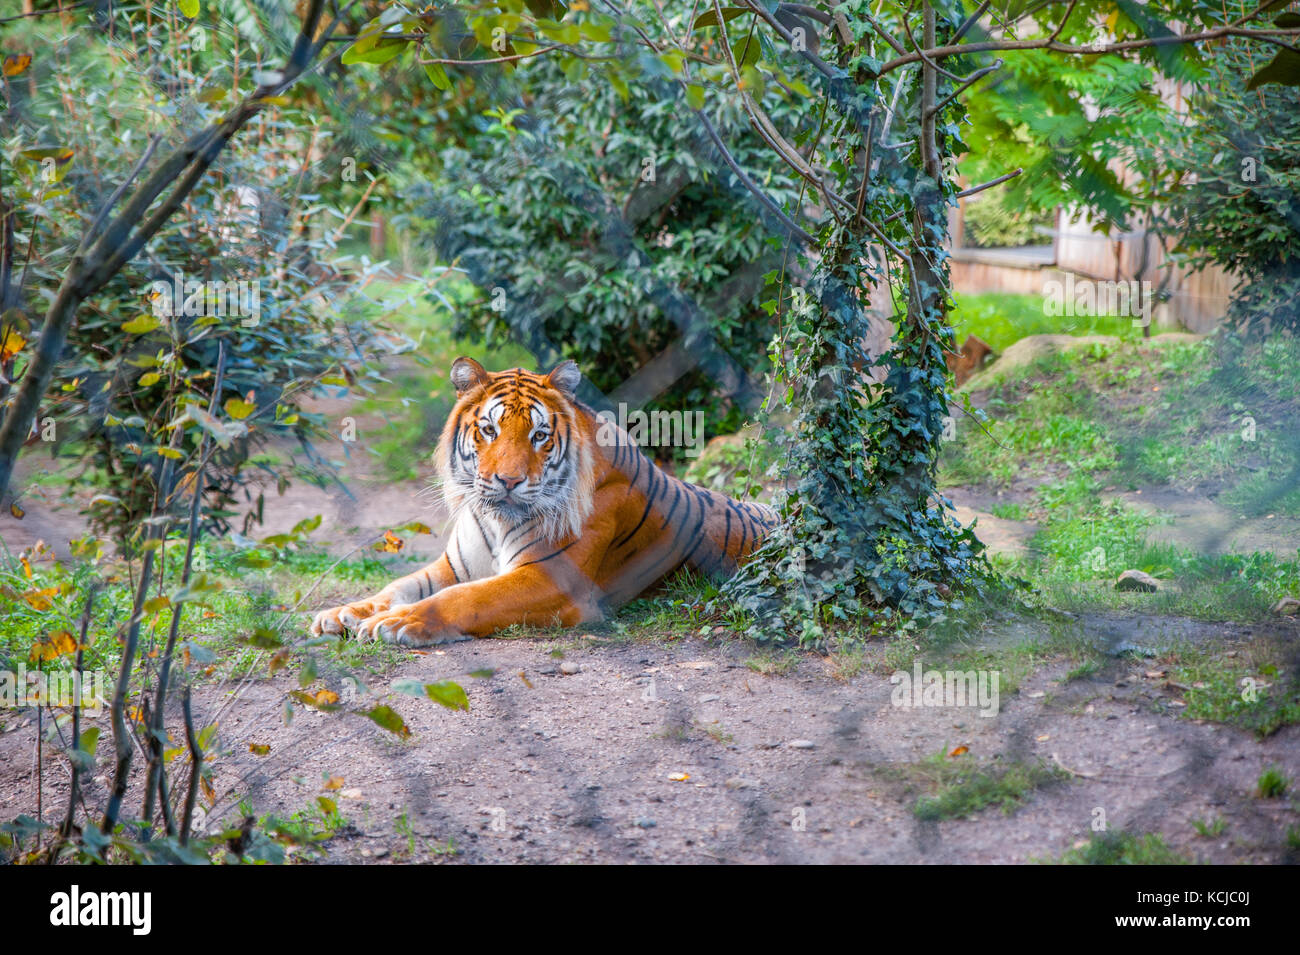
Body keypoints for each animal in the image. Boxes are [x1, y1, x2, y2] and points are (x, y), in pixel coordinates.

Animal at [309, 357, 776, 646]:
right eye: (489, 430)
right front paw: (345, 613)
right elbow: (399, 586)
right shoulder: (453, 567)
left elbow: (464, 599)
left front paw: (398, 622)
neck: (495, 520)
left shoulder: (551, 578)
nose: (509, 481)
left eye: (539, 435)